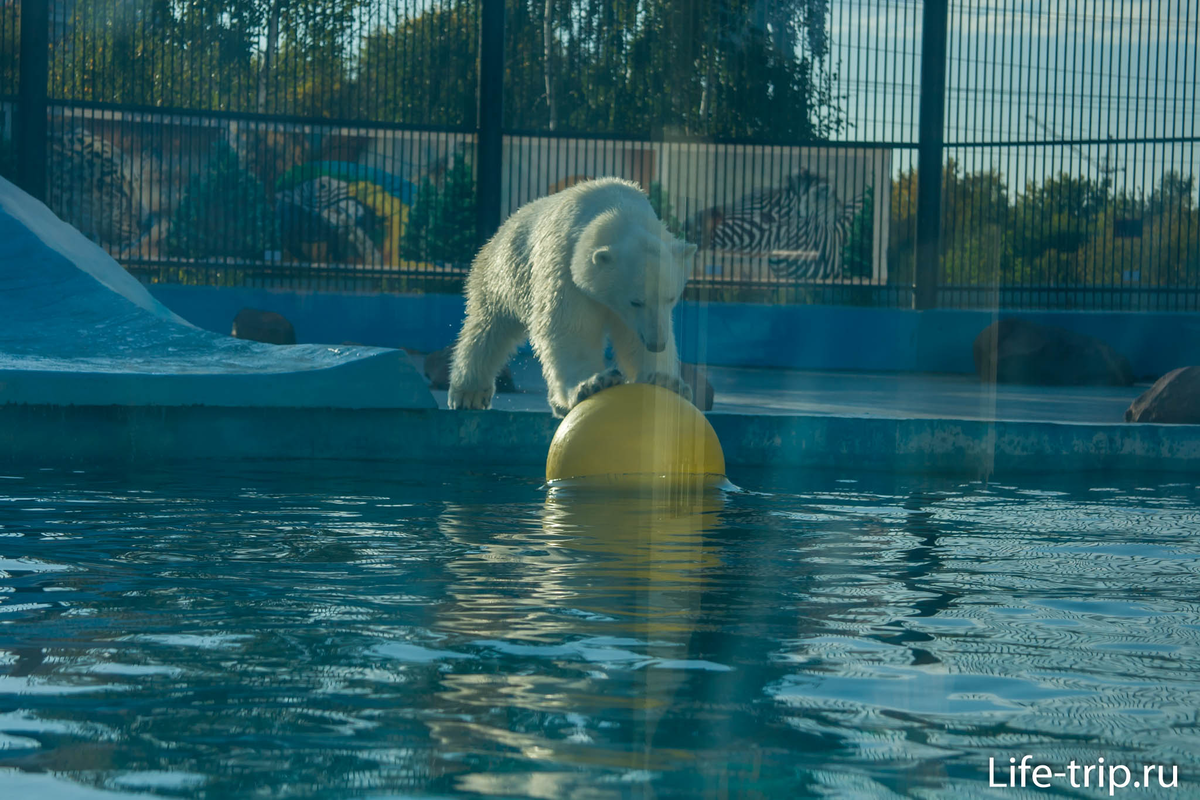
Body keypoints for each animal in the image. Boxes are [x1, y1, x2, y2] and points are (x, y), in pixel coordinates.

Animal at [448, 177, 696, 417]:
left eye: (671, 298)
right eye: (635, 301)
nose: (656, 344)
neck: (616, 206)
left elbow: (633, 336)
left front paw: (667, 381)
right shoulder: (565, 265)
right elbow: (568, 326)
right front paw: (592, 383)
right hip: (504, 274)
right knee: (488, 330)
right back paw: (468, 393)